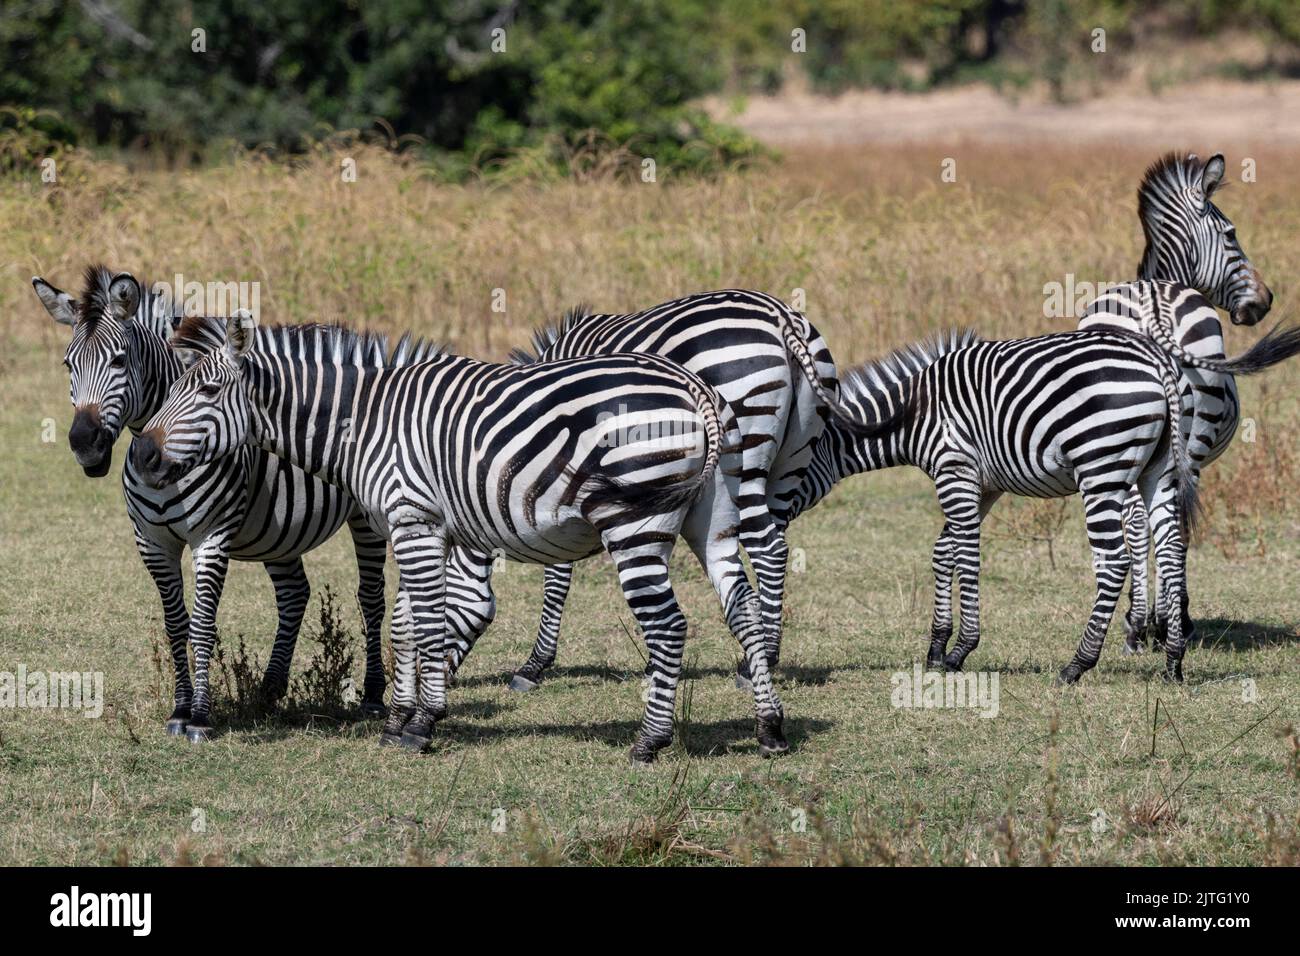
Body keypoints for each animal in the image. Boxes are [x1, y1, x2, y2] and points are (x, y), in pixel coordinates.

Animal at [32, 266, 391, 741]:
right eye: (68, 365)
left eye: (119, 362)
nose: (84, 445)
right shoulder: (153, 543)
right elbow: (175, 624)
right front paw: (180, 709)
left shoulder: (212, 538)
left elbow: (202, 625)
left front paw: (200, 717)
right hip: (278, 530)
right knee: (295, 593)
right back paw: (269, 691)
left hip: (365, 517)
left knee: (371, 595)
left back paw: (372, 695)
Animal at [131, 316, 872, 762]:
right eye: (175, 387)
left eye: (207, 391)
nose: (141, 456)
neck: (362, 419)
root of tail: (694, 387)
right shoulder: (421, 525)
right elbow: (407, 622)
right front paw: (398, 719)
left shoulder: (412, 517)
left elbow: (426, 623)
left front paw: (422, 723)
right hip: (711, 517)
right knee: (741, 607)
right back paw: (770, 728)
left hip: (633, 525)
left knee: (668, 626)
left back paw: (649, 742)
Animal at [783, 321, 1300, 684]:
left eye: (787, 462)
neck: (912, 413)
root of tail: (1157, 360)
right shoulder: (984, 485)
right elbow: (943, 552)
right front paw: (935, 647)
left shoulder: (955, 472)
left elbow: (965, 556)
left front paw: (959, 650)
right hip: (1160, 467)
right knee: (1171, 545)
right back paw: (1173, 660)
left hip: (1102, 467)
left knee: (1114, 560)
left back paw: (1077, 665)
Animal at [1079, 152, 1273, 649]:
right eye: (1232, 234)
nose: (1265, 301)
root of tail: (1155, 310)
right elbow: (1179, 527)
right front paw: (1173, 612)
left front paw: (1144, 616)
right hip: (1192, 440)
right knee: (1171, 519)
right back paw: (1170, 622)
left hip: (1122, 432)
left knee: (1135, 519)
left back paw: (1137, 624)